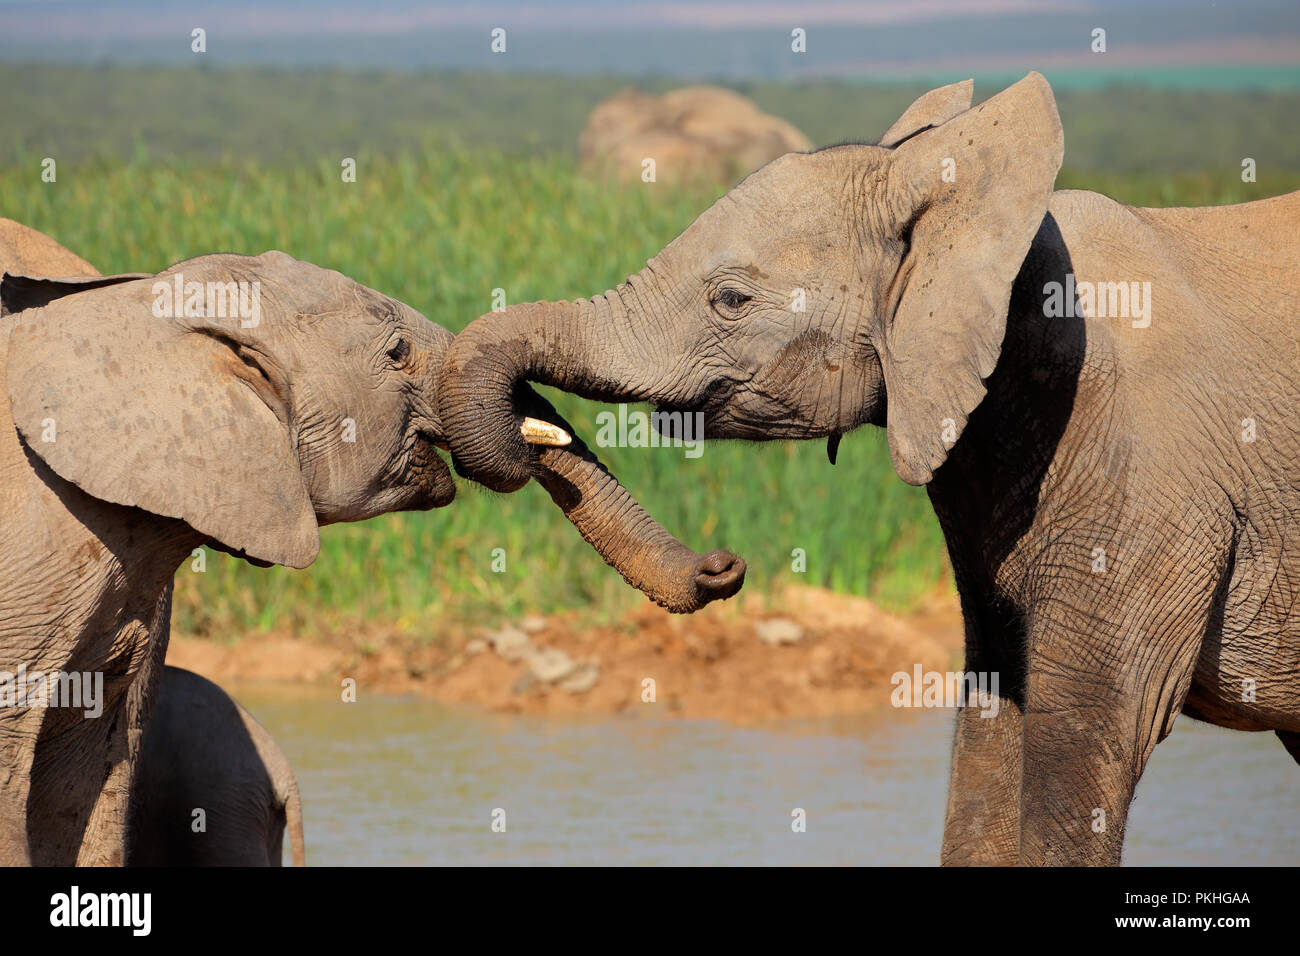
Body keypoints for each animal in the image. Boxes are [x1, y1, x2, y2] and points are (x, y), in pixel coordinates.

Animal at [439, 73, 1300, 865]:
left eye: (730, 299)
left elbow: (1088, 730)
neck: (982, 219)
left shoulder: (1149, 471)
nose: (724, 567)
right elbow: (994, 710)